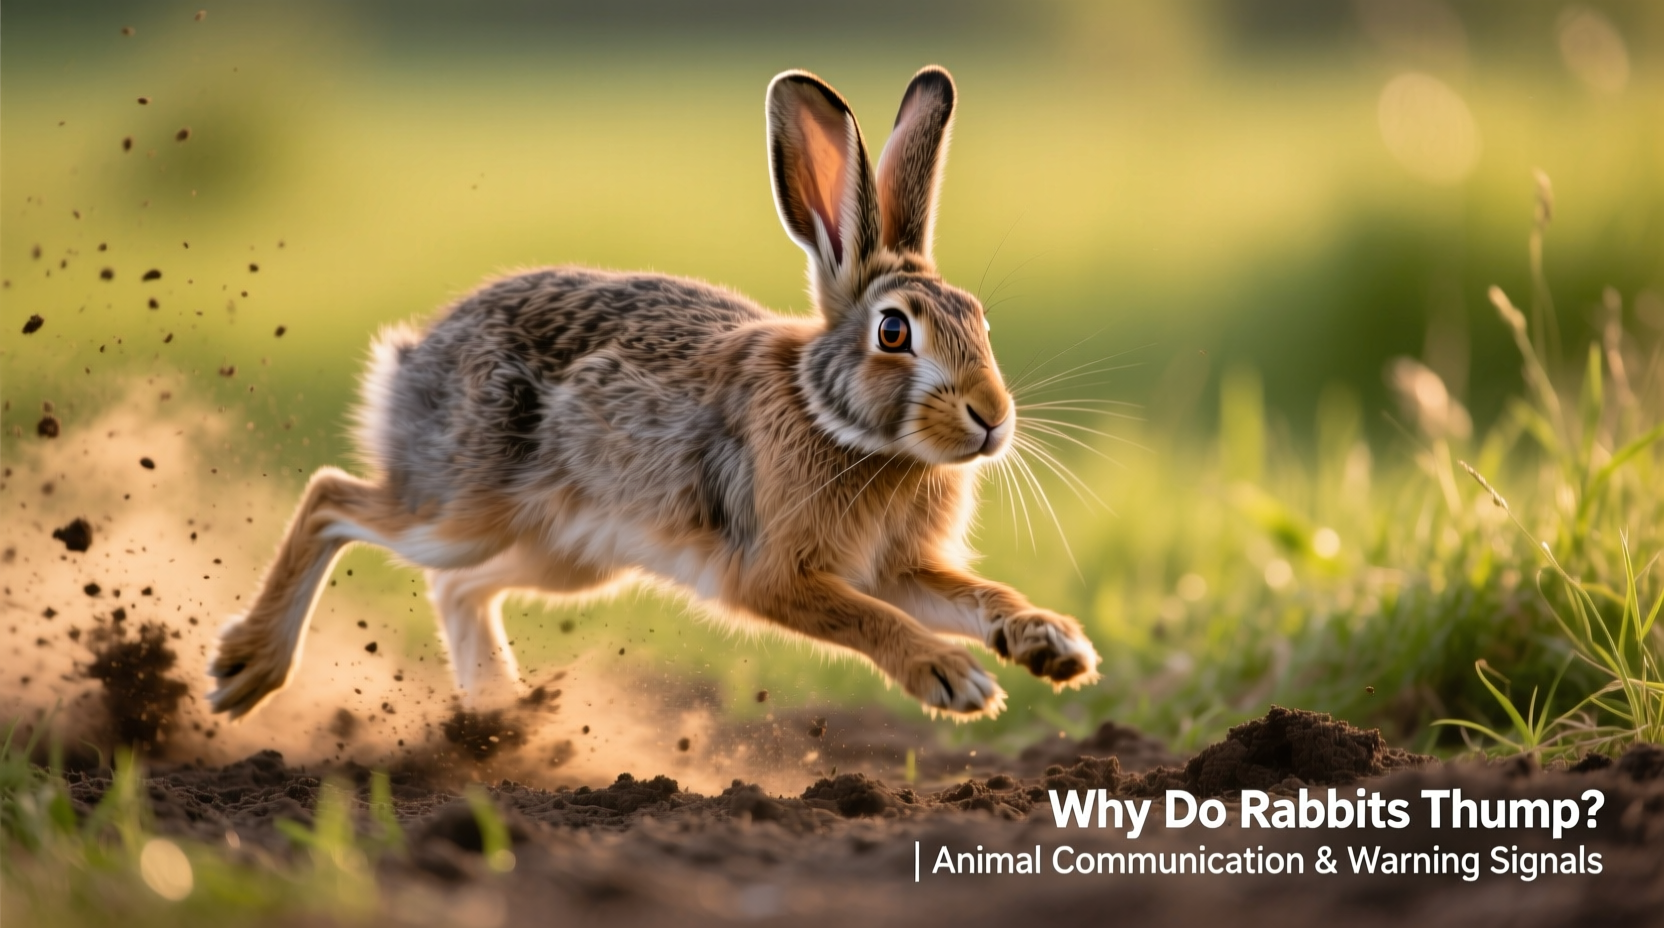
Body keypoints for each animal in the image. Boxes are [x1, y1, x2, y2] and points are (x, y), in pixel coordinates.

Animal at [206, 65, 1102, 723]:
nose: (992, 420)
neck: (843, 425)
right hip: (460, 511)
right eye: (893, 332)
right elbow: (869, 618)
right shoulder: (775, 575)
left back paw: (504, 722)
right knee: (334, 500)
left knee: (459, 587)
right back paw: (249, 668)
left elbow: (971, 594)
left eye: (979, 320)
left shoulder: (897, 566)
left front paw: (1052, 645)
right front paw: (951, 676)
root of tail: (413, 359)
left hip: (568, 554)